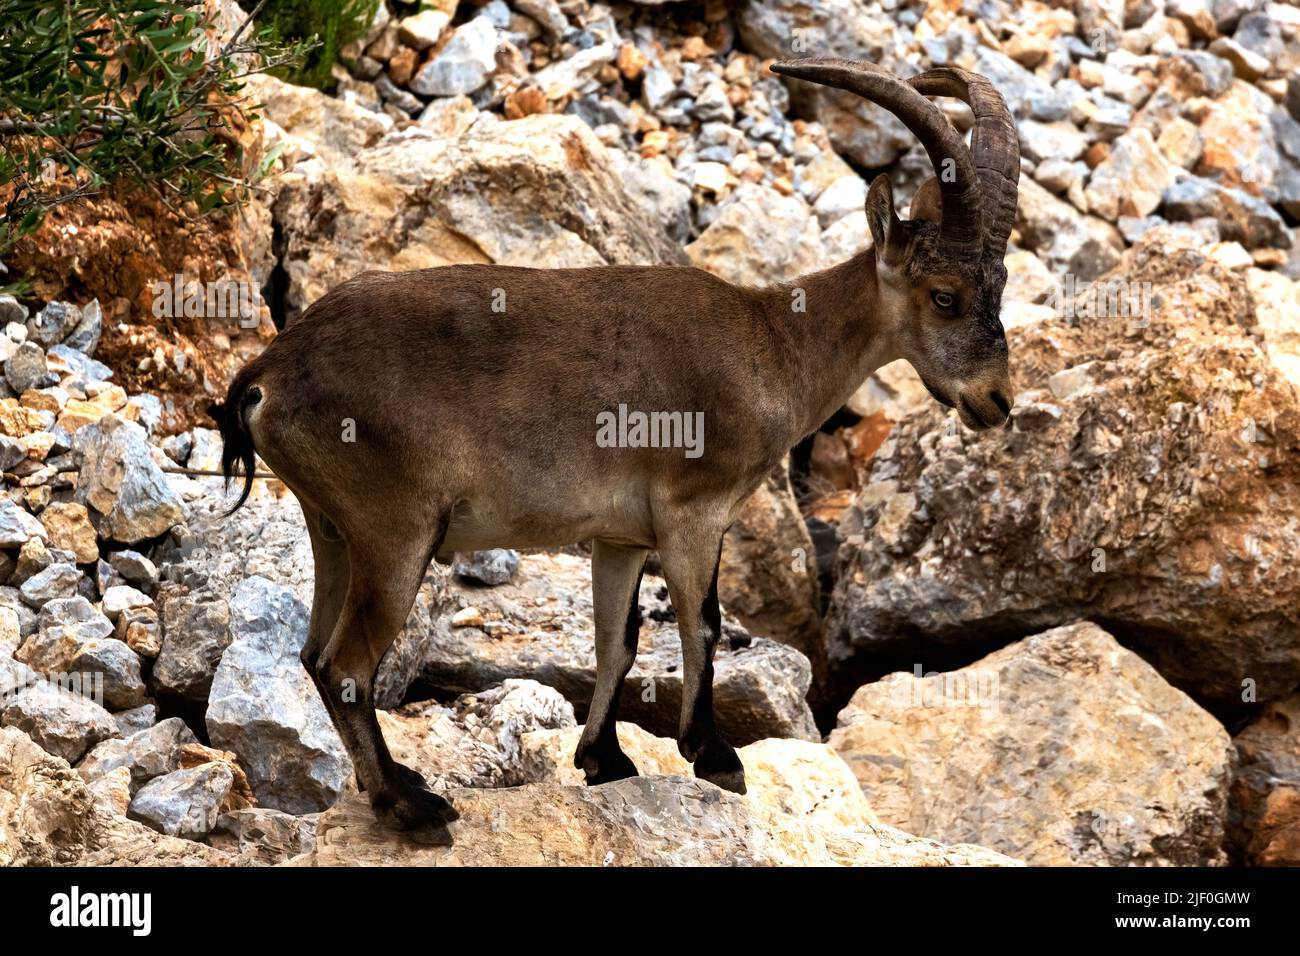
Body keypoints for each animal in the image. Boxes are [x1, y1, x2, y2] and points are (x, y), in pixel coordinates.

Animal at [211, 58, 1021, 845]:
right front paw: (715, 756)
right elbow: (702, 622)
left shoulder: (620, 537)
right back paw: (411, 811)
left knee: (314, 656)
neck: (774, 343)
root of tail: (267, 376)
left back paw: (395, 785)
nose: (997, 401)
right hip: (396, 529)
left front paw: (606, 760)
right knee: (348, 664)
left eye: (999, 285)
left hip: (332, 527)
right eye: (944, 295)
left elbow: (617, 640)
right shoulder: (694, 510)